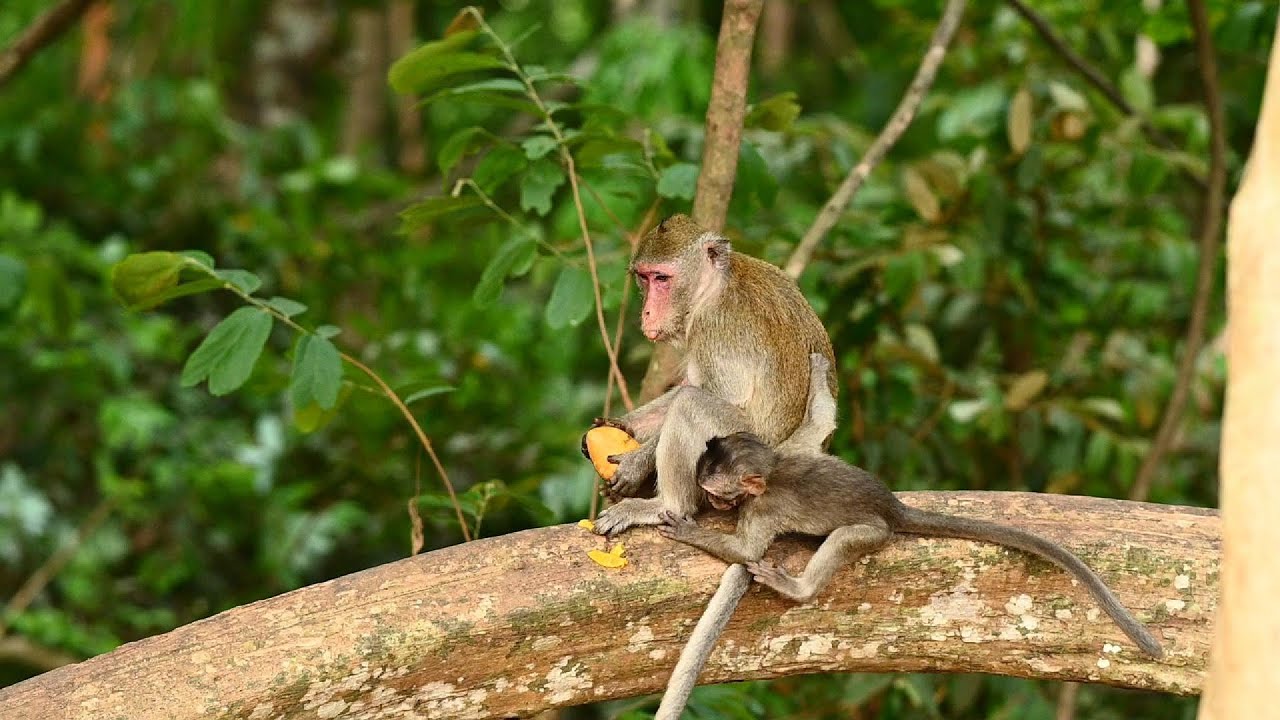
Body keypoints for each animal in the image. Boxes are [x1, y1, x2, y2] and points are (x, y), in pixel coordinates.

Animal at [589, 213, 836, 537]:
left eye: (662, 278)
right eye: (644, 277)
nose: (647, 313)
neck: (714, 287)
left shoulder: (714, 326)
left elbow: (719, 395)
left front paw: (637, 463)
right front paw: (623, 424)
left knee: (691, 404)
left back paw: (667, 506)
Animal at [655, 430, 1166, 660]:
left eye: (716, 489)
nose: (713, 502)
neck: (774, 468)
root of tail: (892, 505)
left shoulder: (764, 509)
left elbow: (746, 552)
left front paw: (689, 531)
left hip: (872, 532)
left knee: (844, 539)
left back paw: (798, 588)